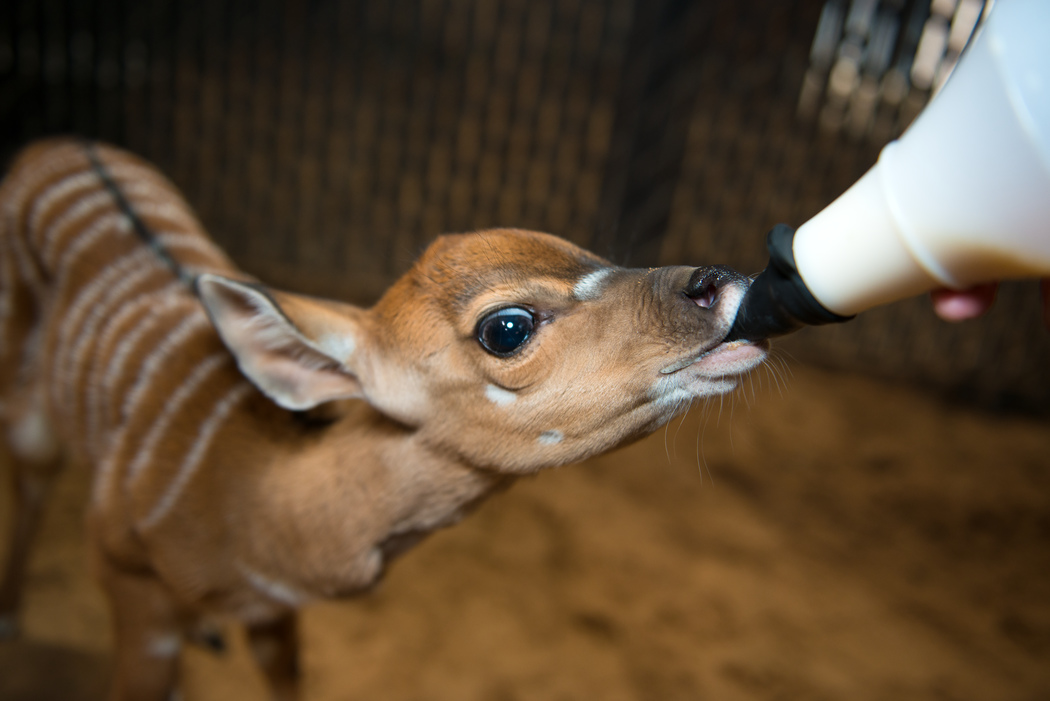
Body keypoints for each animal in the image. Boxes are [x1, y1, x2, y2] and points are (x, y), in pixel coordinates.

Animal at [0, 139, 767, 700]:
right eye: (506, 327)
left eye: (591, 251)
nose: (718, 281)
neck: (251, 500)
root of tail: (52, 144)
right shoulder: (125, 576)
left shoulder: (276, 615)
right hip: (30, 418)